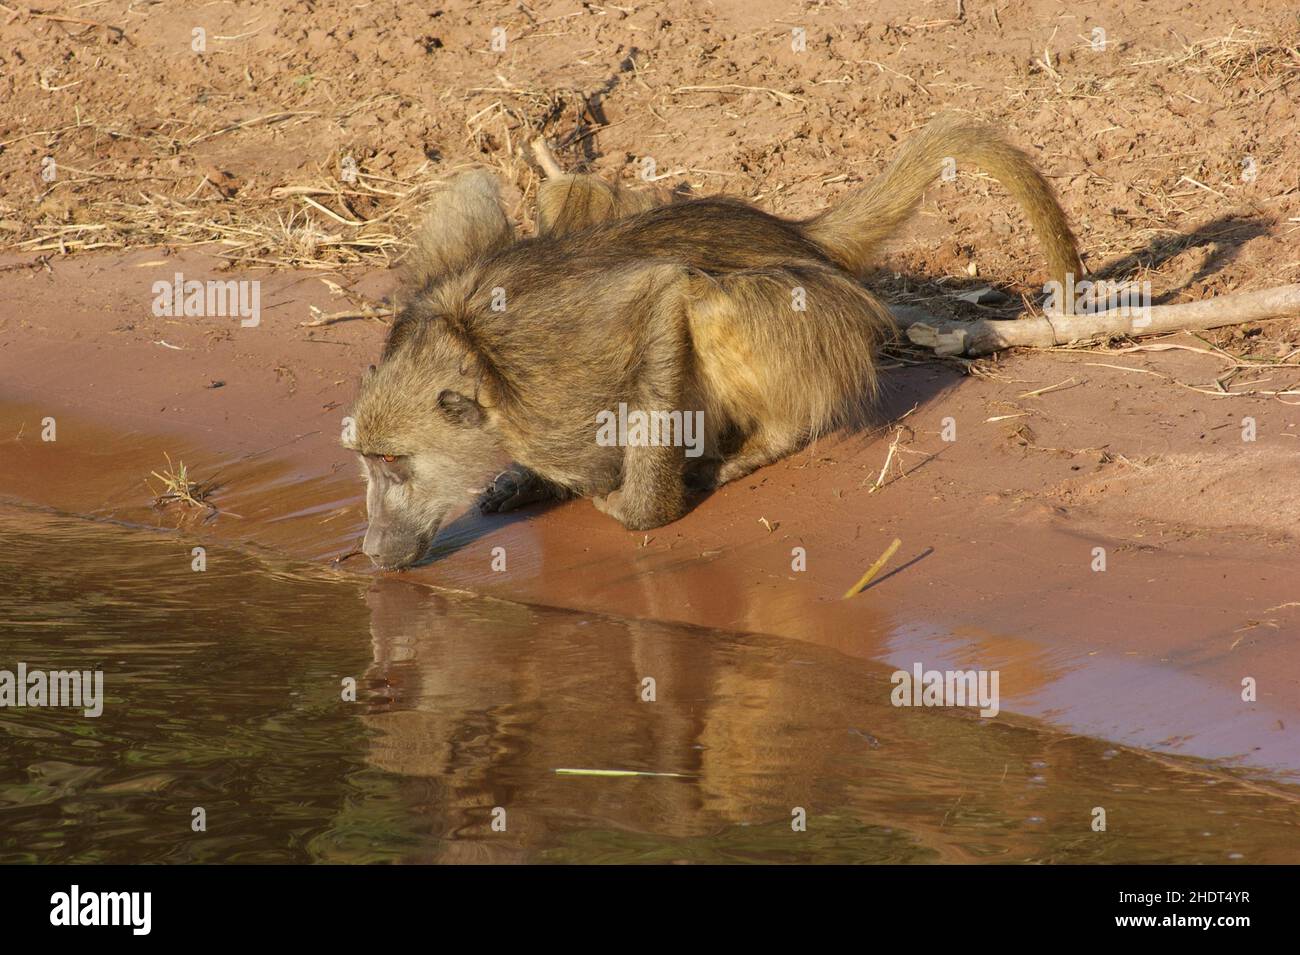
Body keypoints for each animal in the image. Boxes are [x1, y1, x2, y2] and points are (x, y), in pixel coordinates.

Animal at [344, 113, 1082, 569]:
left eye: (393, 462)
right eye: (369, 462)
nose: (373, 549)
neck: (472, 350)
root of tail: (797, 234)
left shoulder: (552, 369)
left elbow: (667, 293)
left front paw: (637, 509)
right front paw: (523, 483)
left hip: (811, 315)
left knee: (708, 303)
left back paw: (754, 449)